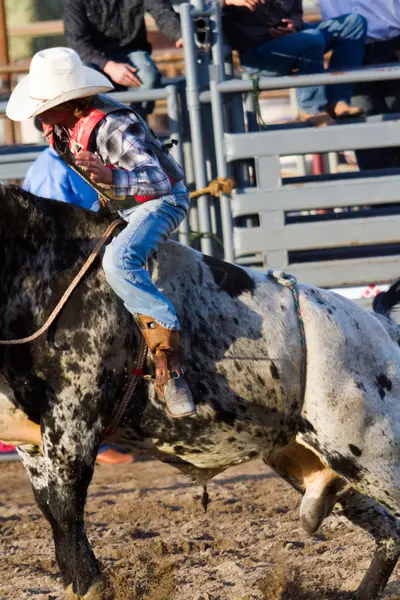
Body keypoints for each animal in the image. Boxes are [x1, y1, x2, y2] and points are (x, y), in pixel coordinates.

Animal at [0, 184, 400, 600]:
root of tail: (381, 325)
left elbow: (65, 505)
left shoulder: (74, 418)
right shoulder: (34, 440)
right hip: (320, 462)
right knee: (388, 530)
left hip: (370, 456)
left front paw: (91, 583)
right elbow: (49, 506)